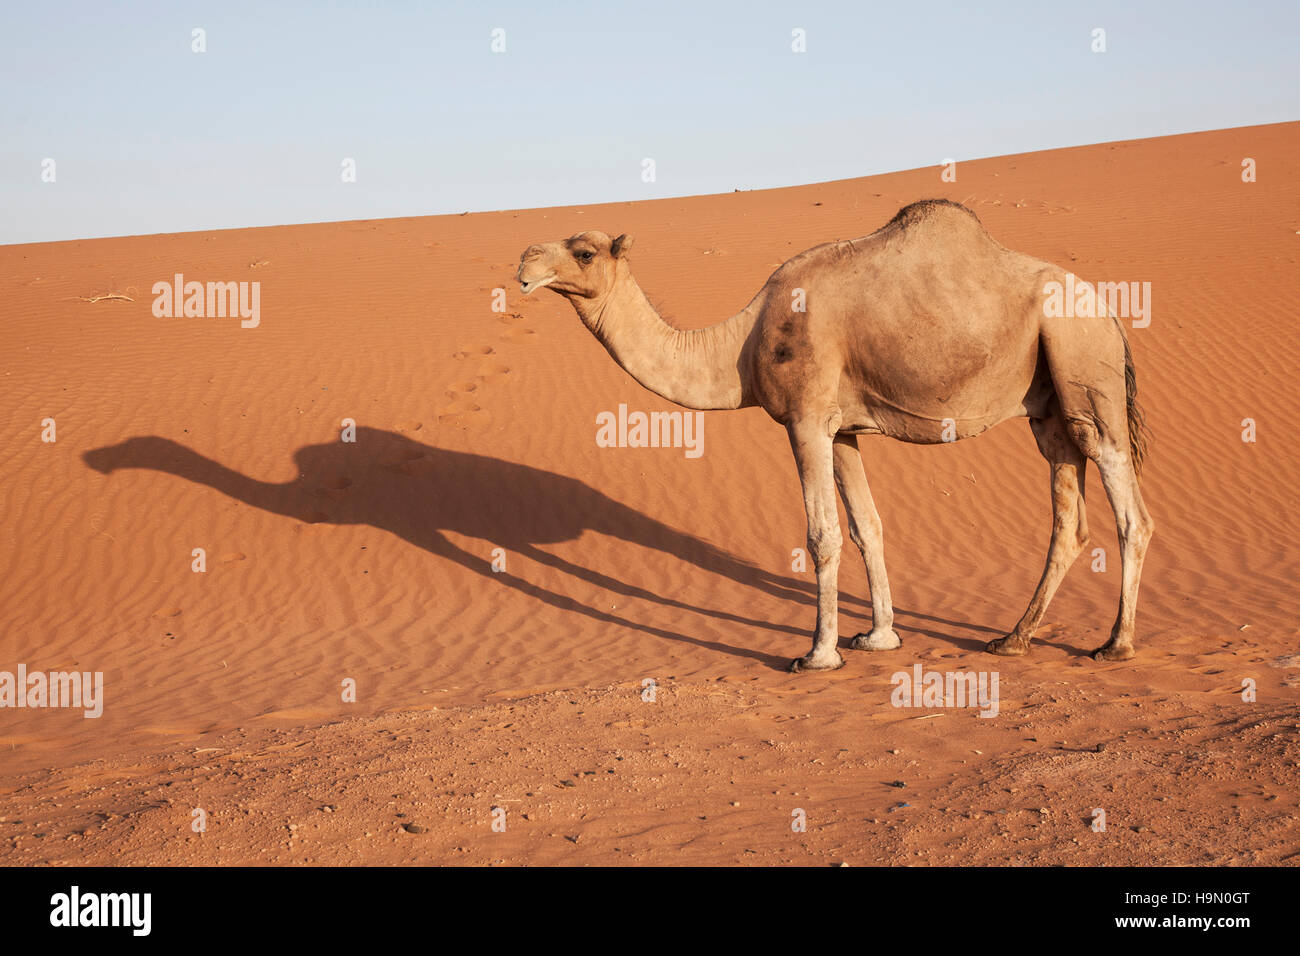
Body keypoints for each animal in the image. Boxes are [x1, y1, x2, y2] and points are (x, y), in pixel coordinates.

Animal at [517, 199, 1153, 672]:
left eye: (583, 252)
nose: (524, 258)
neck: (743, 344)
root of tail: (1109, 311)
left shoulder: (805, 419)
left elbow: (822, 534)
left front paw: (818, 654)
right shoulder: (843, 428)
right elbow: (868, 526)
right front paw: (879, 637)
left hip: (1082, 360)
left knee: (1130, 509)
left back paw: (1115, 644)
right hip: (1050, 406)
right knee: (1069, 517)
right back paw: (1013, 639)